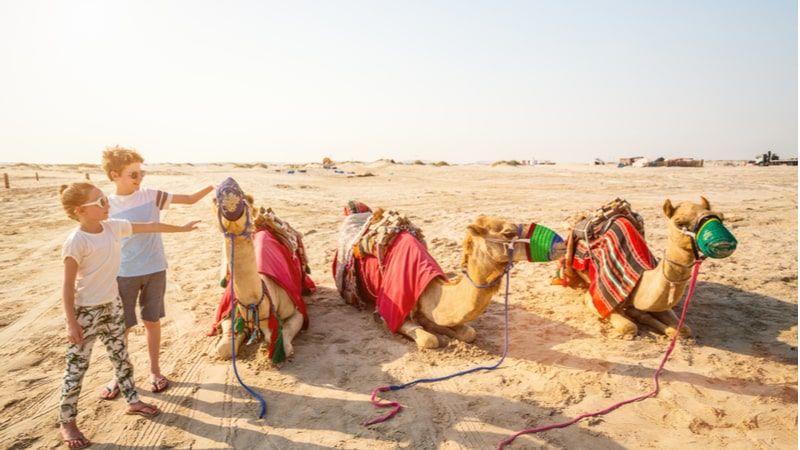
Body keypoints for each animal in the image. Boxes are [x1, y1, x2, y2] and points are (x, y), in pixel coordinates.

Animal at [212, 178, 308, 360]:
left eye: (246, 198)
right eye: (215, 200)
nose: (228, 184)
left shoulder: (297, 312)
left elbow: (281, 342)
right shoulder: (228, 312)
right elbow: (224, 348)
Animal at [335, 210, 565, 348]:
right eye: (508, 233)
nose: (561, 243)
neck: (430, 287)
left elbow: (467, 332)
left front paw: (445, 333)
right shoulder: (392, 308)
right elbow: (428, 340)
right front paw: (437, 336)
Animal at [565, 197, 737, 337]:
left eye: (721, 217)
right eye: (679, 223)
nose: (723, 243)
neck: (640, 277)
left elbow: (683, 329)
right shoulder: (596, 296)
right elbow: (629, 327)